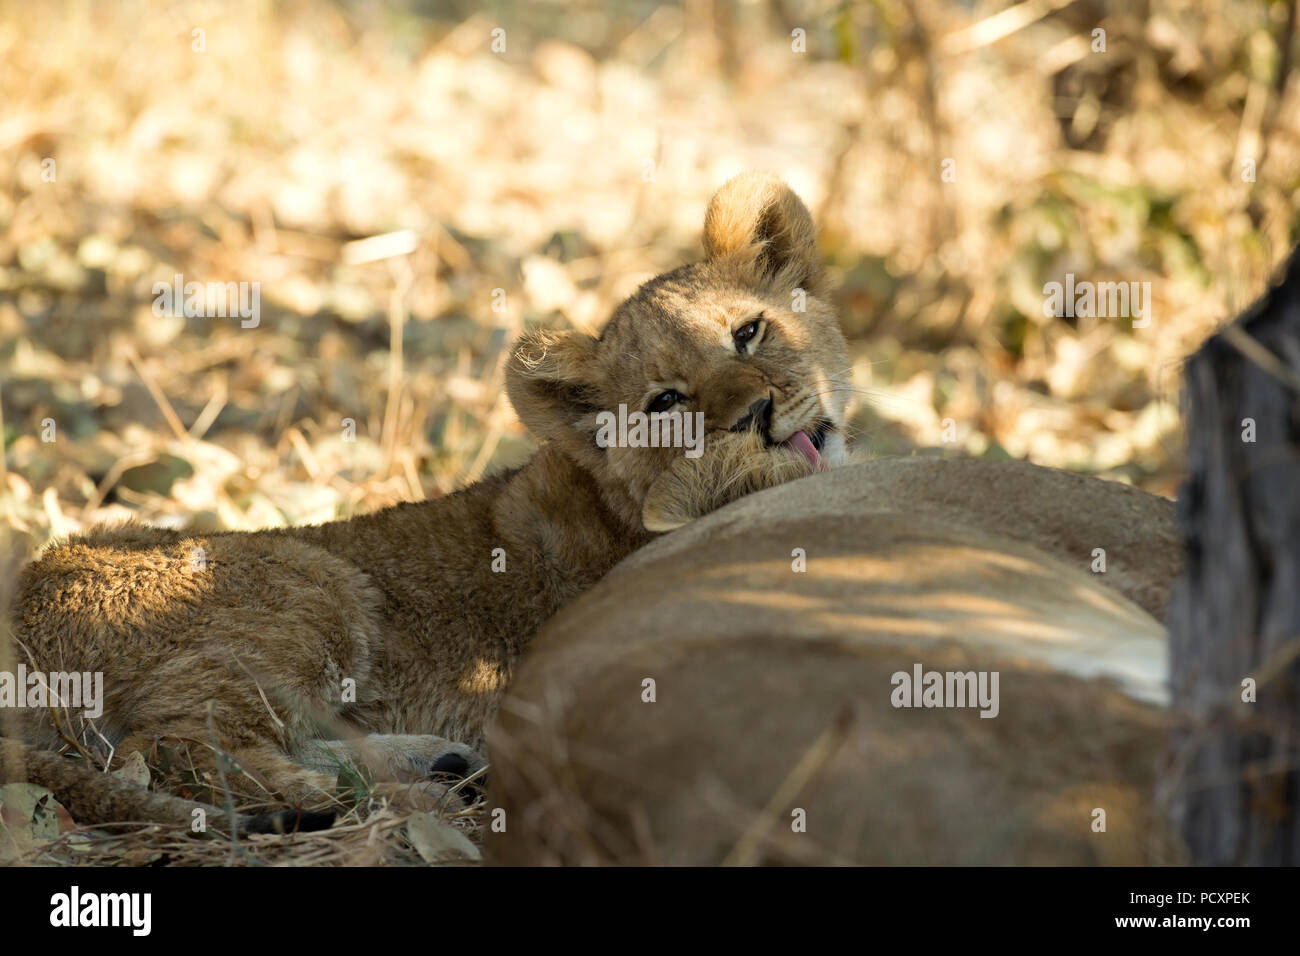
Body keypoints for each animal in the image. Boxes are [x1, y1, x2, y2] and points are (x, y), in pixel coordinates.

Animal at [1, 172, 851, 834]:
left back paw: (431, 765)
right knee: (170, 744)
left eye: (749, 332)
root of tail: (25, 596)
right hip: (314, 587)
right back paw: (339, 798)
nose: (757, 416)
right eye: (667, 402)